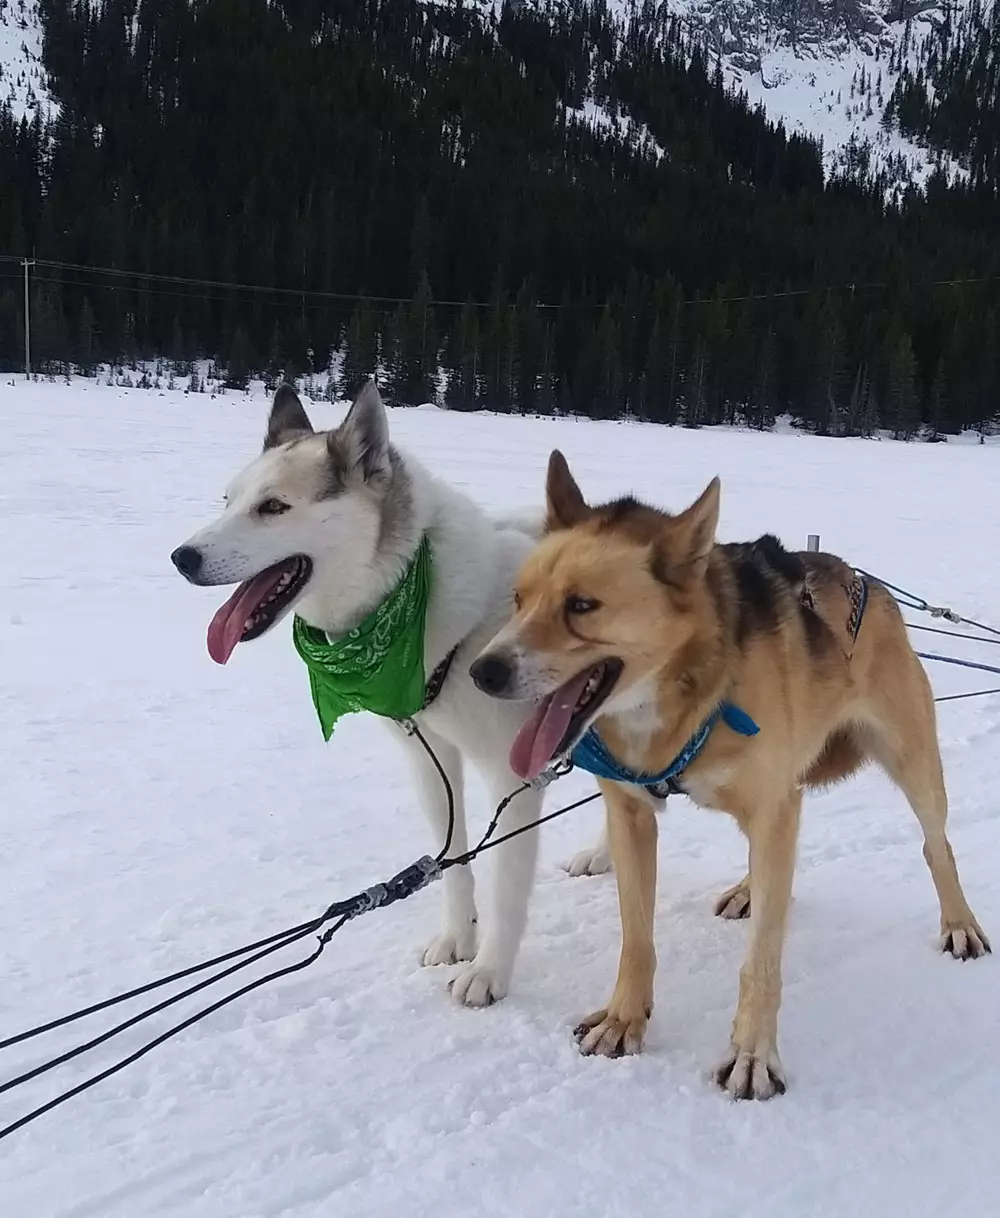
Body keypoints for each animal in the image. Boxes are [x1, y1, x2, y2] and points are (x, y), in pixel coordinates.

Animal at [171, 382, 609, 1008]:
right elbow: (454, 861)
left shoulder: (513, 779)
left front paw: (490, 972)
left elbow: (505, 887)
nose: (182, 557)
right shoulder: (430, 762)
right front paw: (458, 939)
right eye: (227, 500)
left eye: (273, 507)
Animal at [472, 453, 989, 1101]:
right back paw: (749, 888)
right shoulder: (632, 816)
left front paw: (752, 1054)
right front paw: (624, 1019)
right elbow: (636, 939)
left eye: (581, 605)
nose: (482, 671)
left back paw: (959, 922)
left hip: (914, 763)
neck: (687, 697)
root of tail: (863, 581)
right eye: (518, 599)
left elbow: (760, 962)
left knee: (935, 844)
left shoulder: (772, 808)